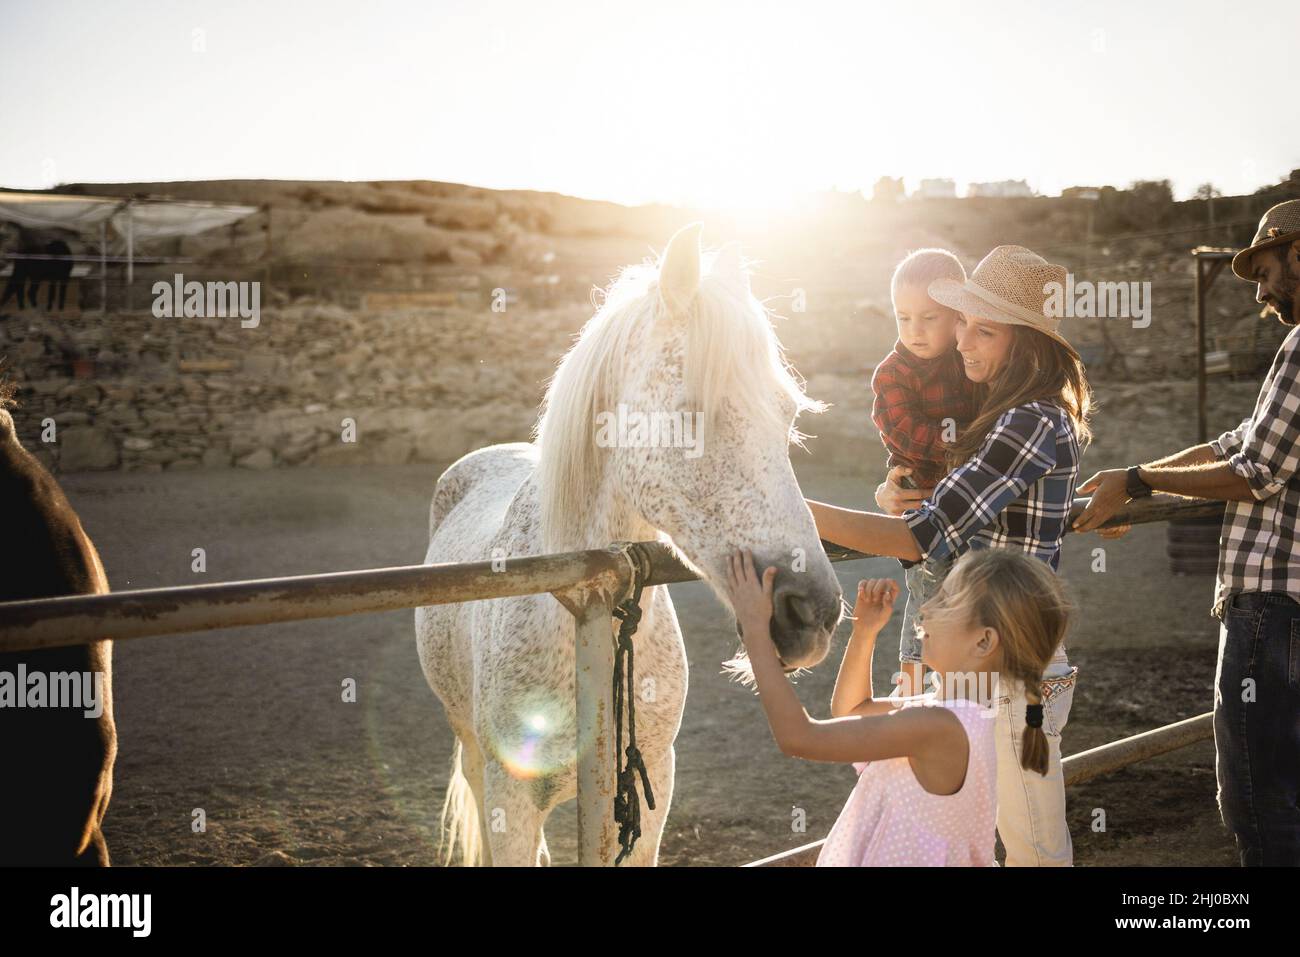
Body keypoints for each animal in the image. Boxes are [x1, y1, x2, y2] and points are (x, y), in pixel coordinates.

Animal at [415, 223, 843, 866]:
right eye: (693, 413)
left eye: (787, 412)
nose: (812, 612)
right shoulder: (508, 795)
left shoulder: (652, 783)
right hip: (469, 750)